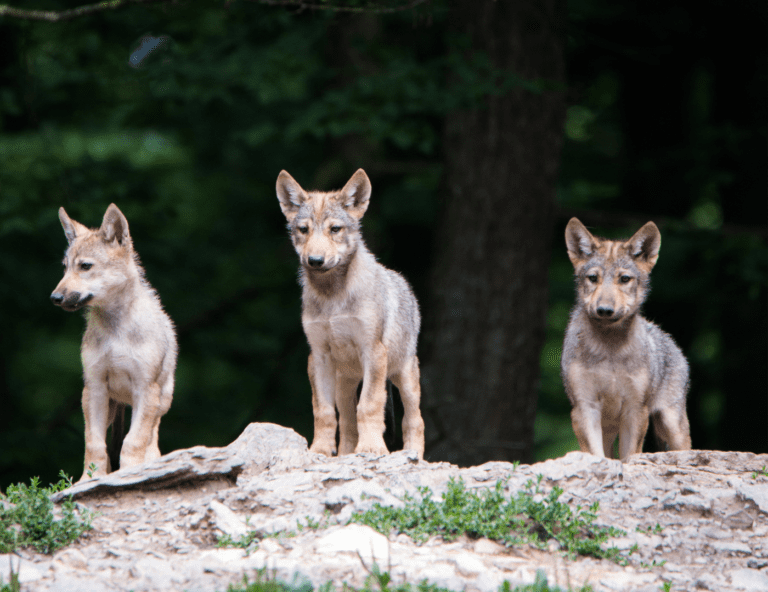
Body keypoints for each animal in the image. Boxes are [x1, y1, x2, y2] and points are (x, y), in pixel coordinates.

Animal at [51, 204, 177, 482]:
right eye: (65, 268)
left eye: (85, 266)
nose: (55, 297)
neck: (116, 331)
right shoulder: (95, 388)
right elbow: (95, 444)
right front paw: (90, 479)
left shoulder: (145, 389)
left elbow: (134, 441)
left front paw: (131, 473)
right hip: (110, 406)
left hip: (161, 400)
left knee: (152, 435)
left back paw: (153, 461)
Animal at [276, 169, 425, 458]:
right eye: (303, 230)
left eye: (335, 229)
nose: (315, 261)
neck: (333, 297)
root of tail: (406, 286)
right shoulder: (318, 357)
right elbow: (323, 412)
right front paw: (320, 450)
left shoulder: (373, 352)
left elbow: (369, 406)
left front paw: (371, 448)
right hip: (343, 385)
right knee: (347, 422)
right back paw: (346, 454)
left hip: (404, 377)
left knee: (414, 420)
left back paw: (413, 455)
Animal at [561, 217, 691, 460]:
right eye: (593, 278)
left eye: (624, 279)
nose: (604, 310)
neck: (609, 349)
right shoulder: (585, 408)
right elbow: (596, 455)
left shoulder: (635, 410)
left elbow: (630, 456)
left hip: (672, 427)